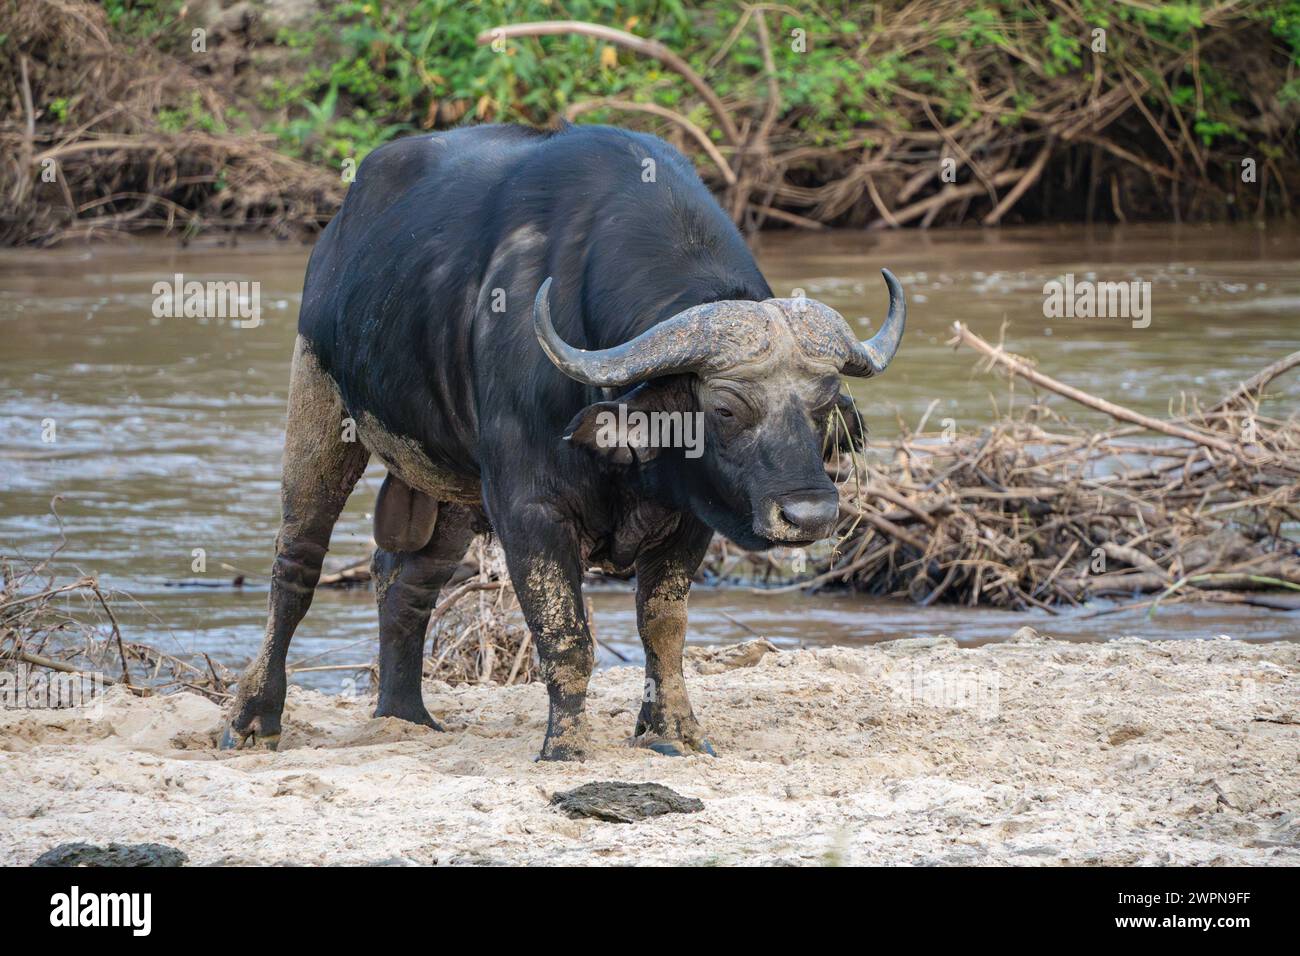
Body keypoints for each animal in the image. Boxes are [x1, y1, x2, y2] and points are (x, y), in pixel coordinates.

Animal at [223, 123, 906, 759]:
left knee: (405, 579)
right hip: (318, 398)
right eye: (726, 408)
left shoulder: (691, 516)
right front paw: (567, 746)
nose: (810, 515)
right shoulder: (528, 508)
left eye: (824, 406)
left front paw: (676, 733)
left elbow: (665, 629)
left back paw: (403, 716)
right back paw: (255, 718)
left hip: (449, 488)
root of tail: (338, 231)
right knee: (297, 561)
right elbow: (566, 635)